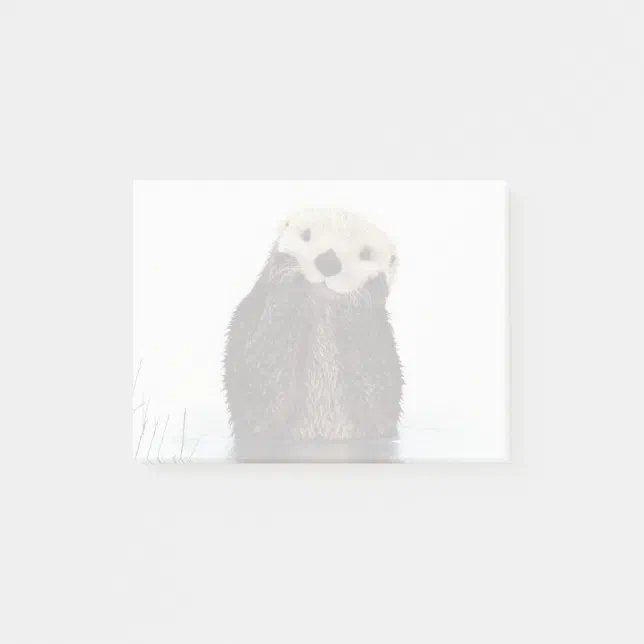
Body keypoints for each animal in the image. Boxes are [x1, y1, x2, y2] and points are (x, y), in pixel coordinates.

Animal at [223, 208, 403, 462]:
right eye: (306, 234)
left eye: (366, 253)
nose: (329, 261)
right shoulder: (247, 323)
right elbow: (259, 384)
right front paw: (290, 274)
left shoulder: (382, 349)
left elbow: (376, 399)